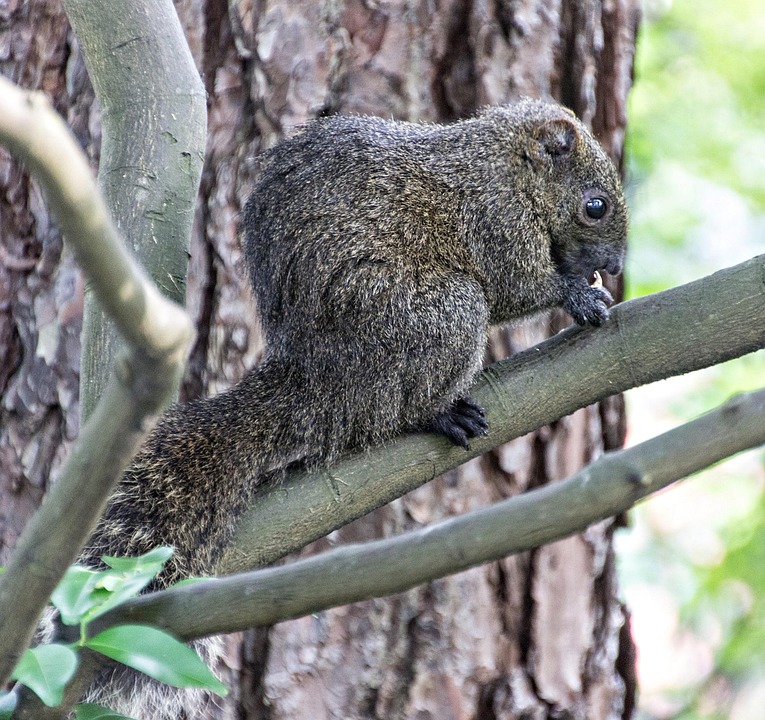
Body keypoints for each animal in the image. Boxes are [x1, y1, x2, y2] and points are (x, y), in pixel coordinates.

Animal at [73, 97, 627, 719]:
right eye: (595, 206)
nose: (615, 265)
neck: (503, 161)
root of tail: (316, 383)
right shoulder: (494, 218)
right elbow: (519, 289)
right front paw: (578, 293)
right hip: (439, 315)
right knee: (397, 401)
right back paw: (438, 413)